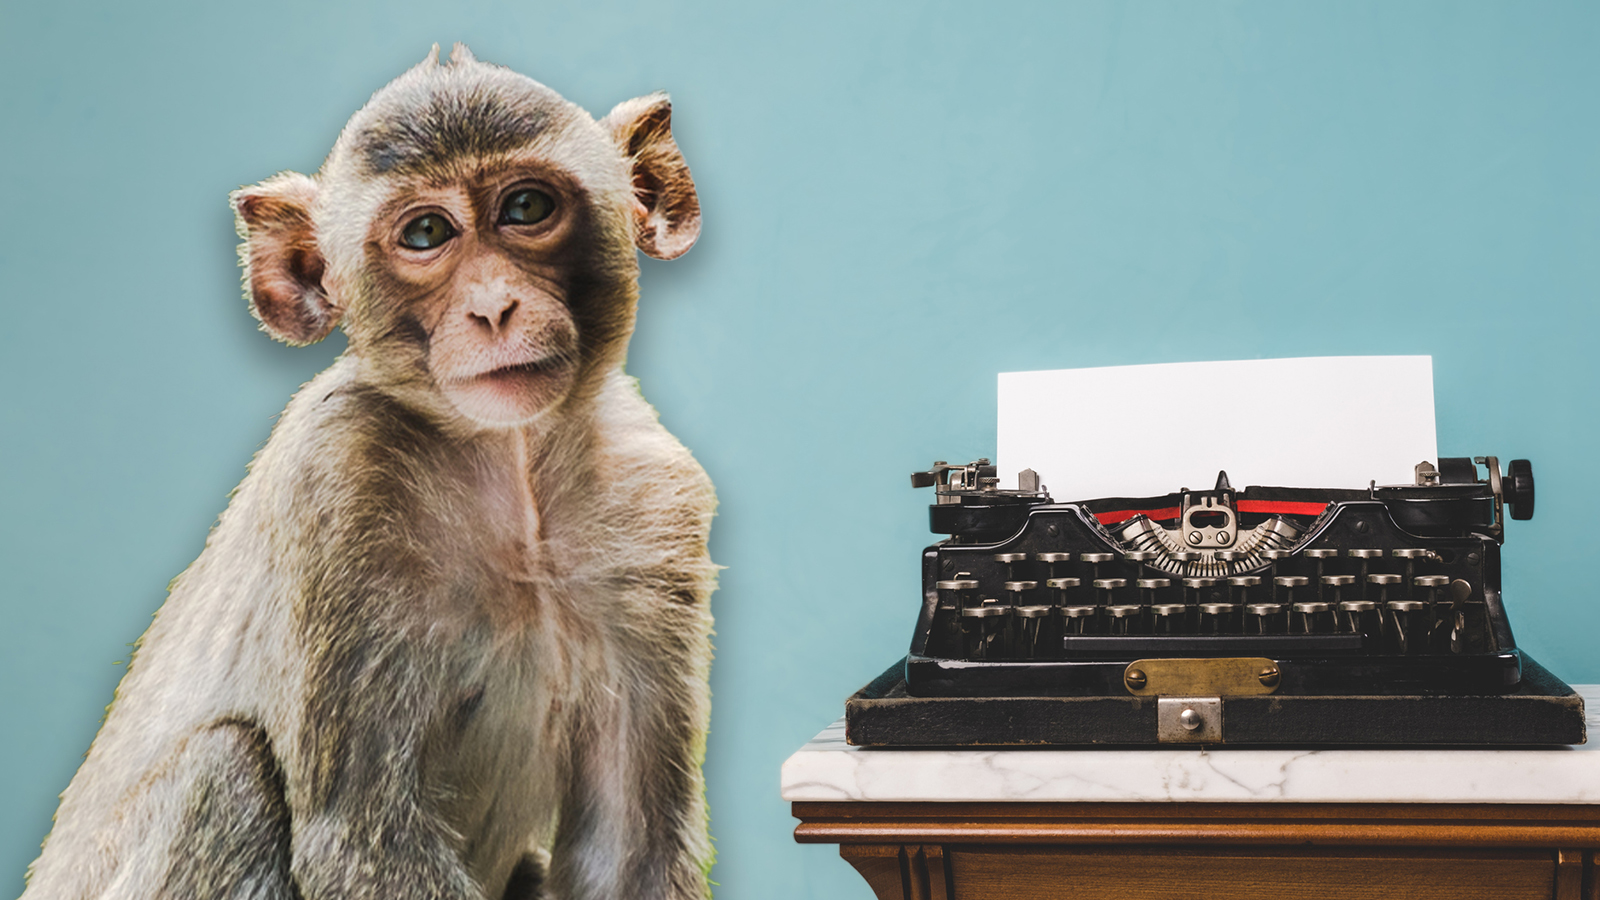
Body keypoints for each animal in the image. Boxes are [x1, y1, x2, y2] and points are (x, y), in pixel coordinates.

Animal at [19, 44, 715, 900]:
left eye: (524, 207)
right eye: (426, 232)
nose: (493, 307)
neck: (515, 476)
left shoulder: (655, 508)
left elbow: (631, 852)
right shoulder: (336, 484)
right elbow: (359, 836)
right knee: (228, 772)